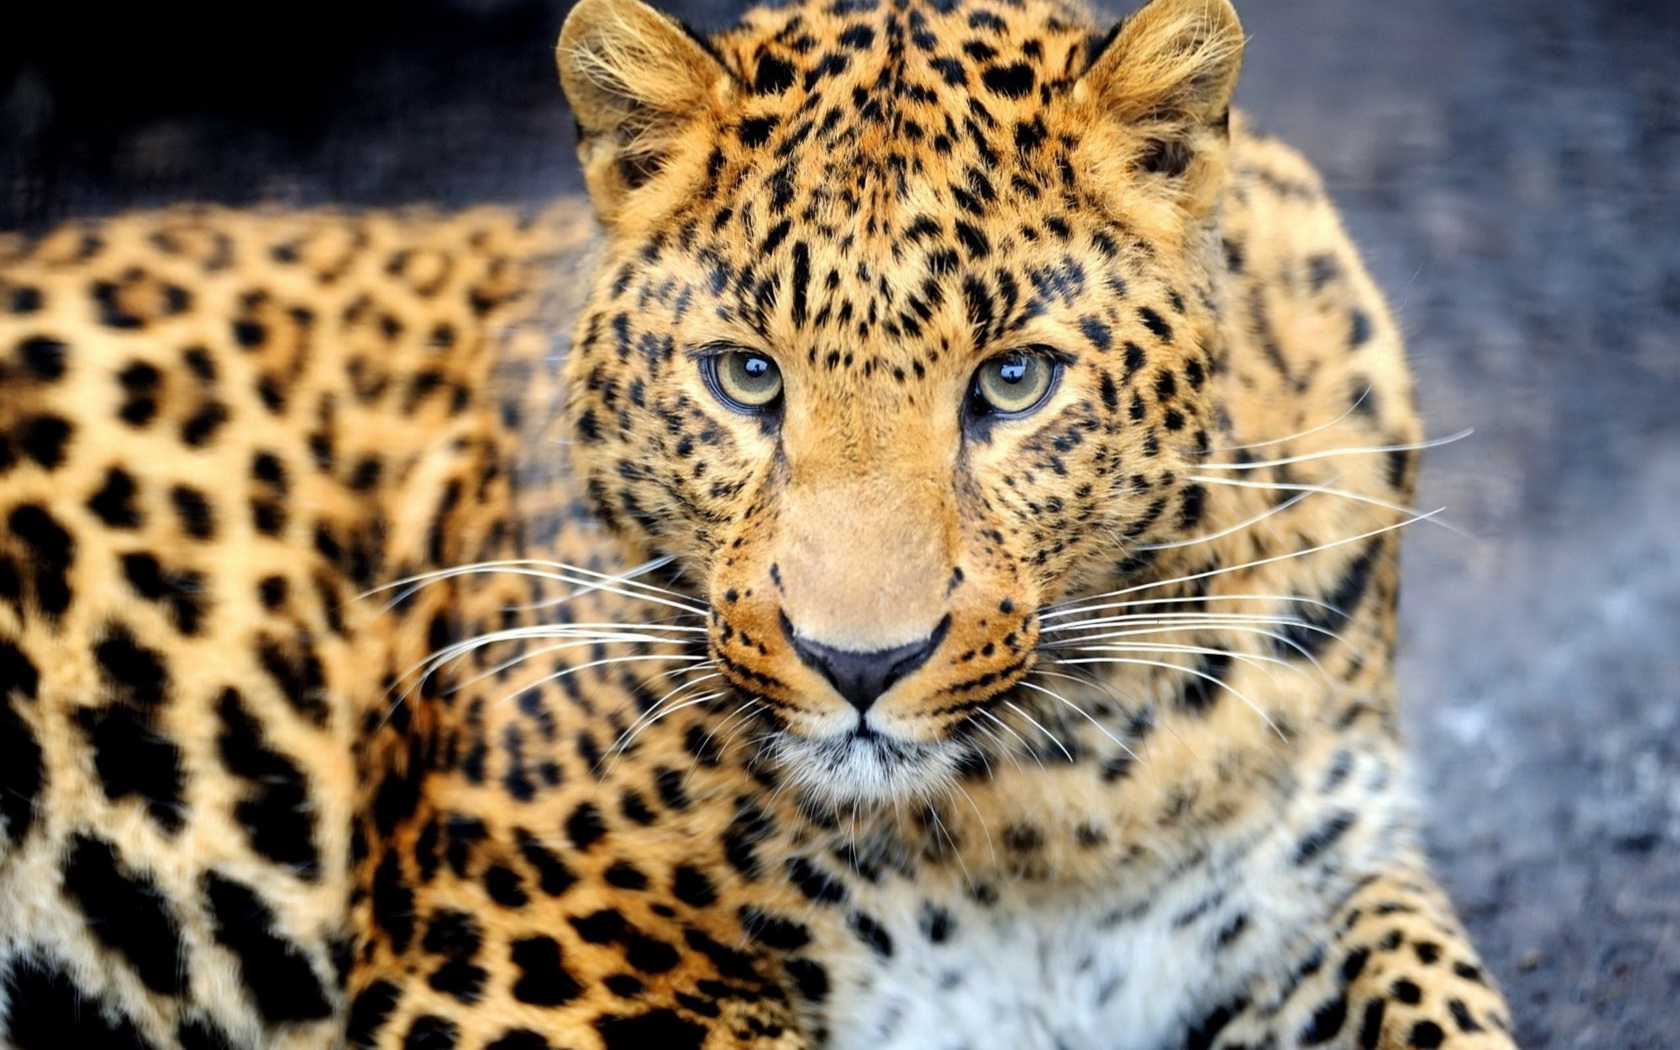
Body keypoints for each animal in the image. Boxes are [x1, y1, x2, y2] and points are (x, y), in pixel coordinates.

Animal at [0, 0, 1521, 1047]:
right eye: (745, 377)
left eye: (1013, 381)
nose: (860, 665)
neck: (1050, 809)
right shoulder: (518, 972)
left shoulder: (1314, 890)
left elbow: (1444, 1007)